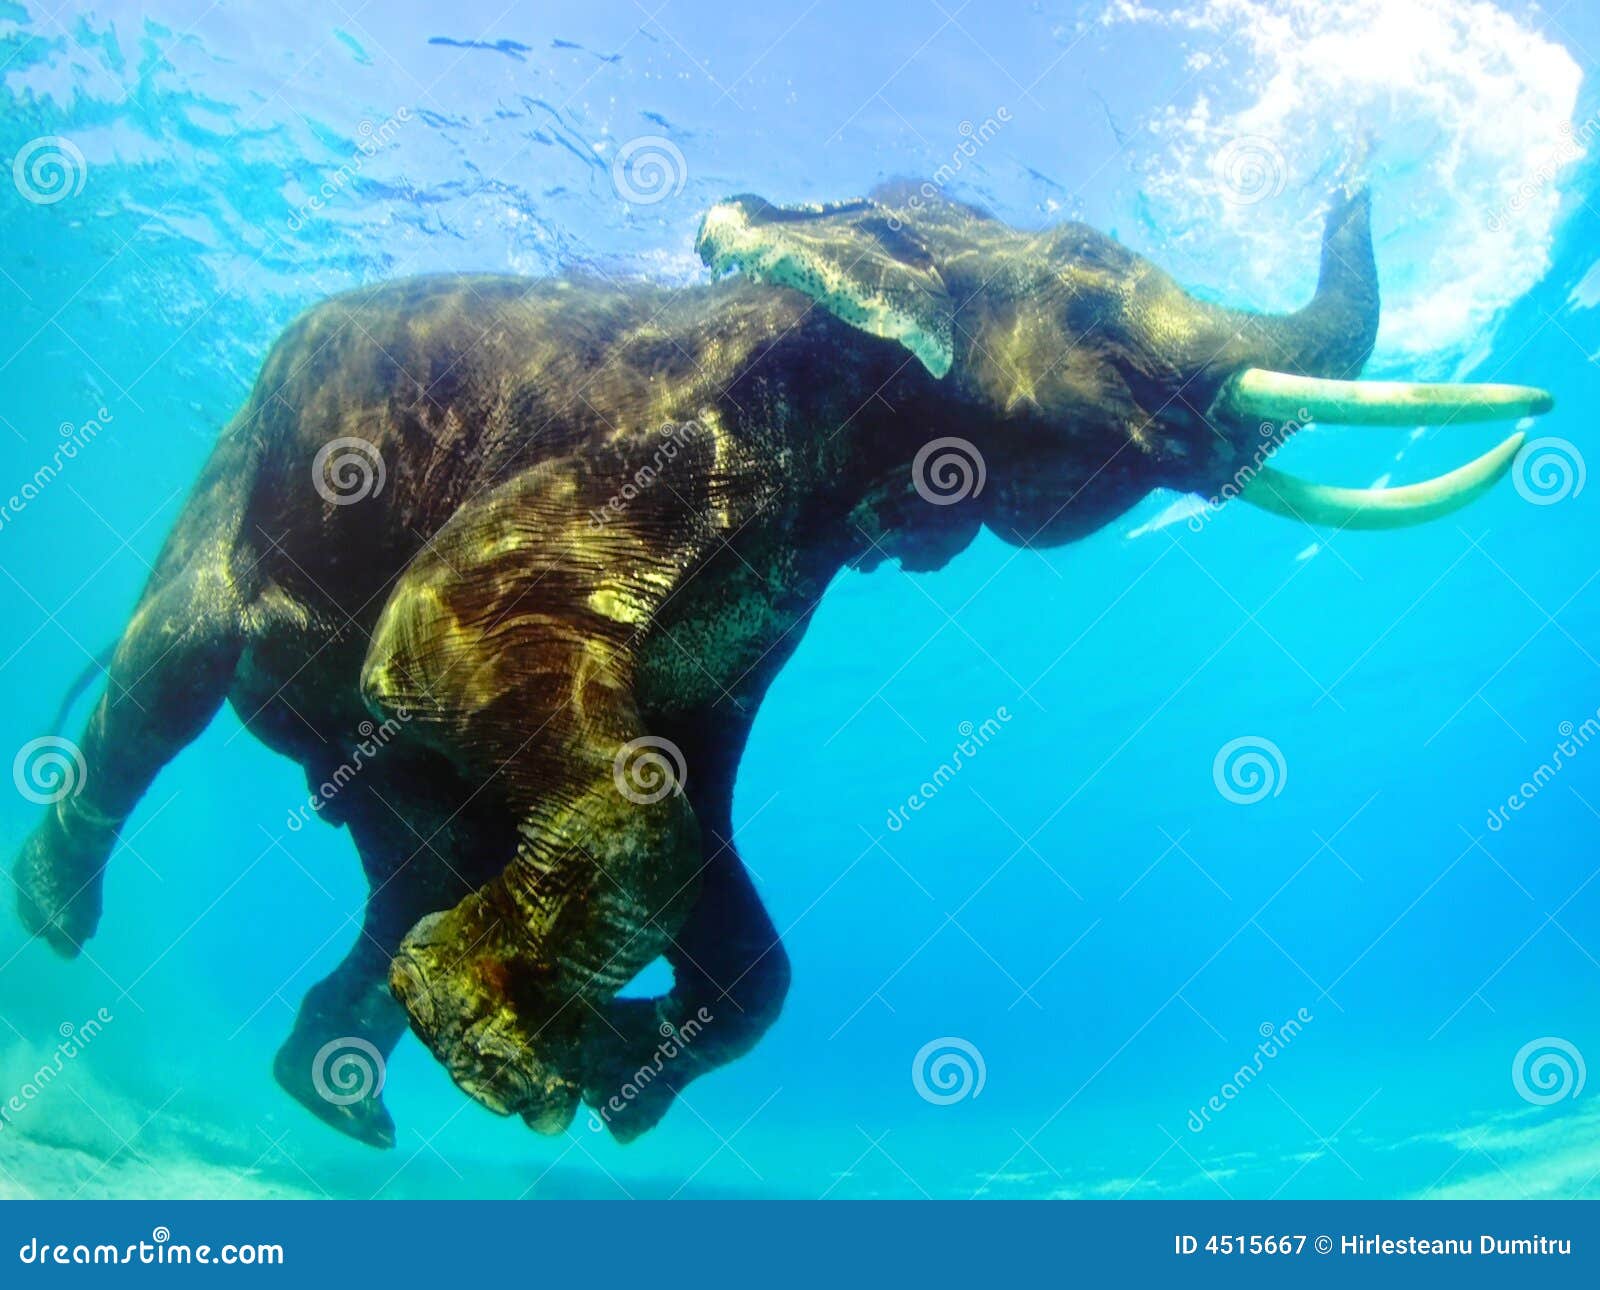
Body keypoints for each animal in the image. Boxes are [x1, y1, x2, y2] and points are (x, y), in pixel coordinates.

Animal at [12, 178, 1553, 1149]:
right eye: (1096, 309)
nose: (1357, 158)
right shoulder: (657, 448)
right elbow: (455, 637)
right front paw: (526, 1067)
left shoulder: (775, 592)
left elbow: (709, 829)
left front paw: (607, 1071)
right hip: (232, 480)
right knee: (166, 683)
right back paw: (61, 920)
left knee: (412, 856)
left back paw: (341, 1092)